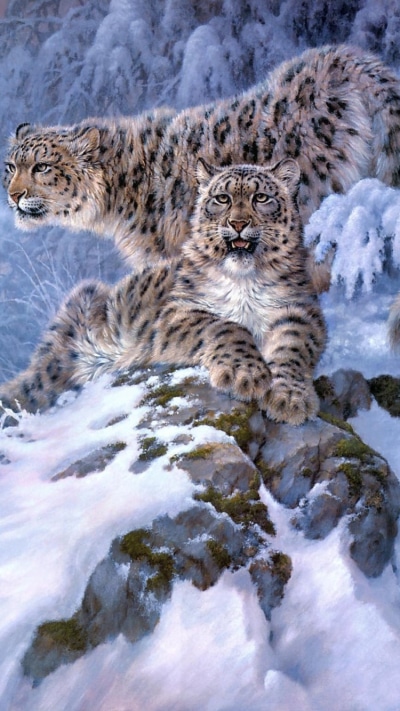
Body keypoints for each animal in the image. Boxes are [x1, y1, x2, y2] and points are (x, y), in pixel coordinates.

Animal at [0, 160, 326, 426]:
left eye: (261, 198)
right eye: (223, 198)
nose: (238, 223)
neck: (243, 281)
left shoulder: (298, 310)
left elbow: (292, 349)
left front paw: (290, 399)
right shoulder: (176, 312)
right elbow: (225, 326)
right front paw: (244, 374)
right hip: (72, 324)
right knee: (34, 384)